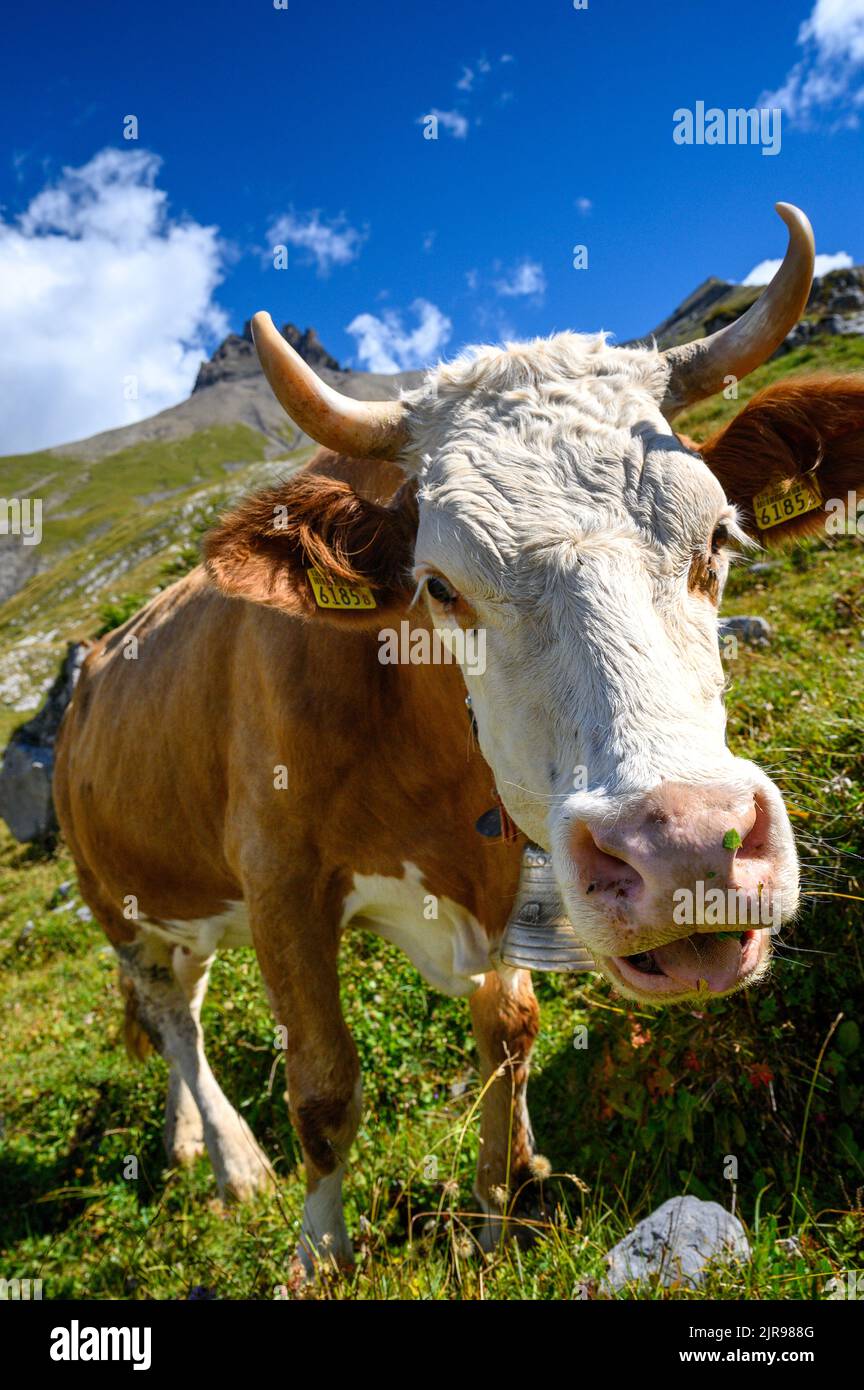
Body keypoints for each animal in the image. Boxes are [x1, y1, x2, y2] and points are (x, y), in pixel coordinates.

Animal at [53, 204, 864, 1273]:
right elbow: (324, 1087)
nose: (685, 847)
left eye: (719, 540)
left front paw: (500, 1206)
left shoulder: (510, 861)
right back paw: (232, 1162)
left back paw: (190, 1139)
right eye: (440, 586)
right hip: (118, 895)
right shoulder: (280, 880)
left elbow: (510, 1032)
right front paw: (323, 1254)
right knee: (169, 1016)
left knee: (180, 997)